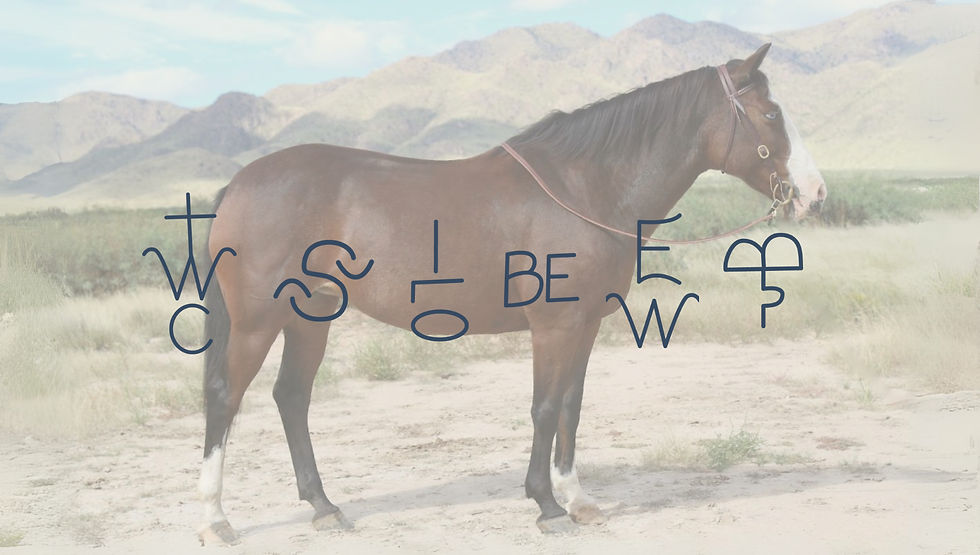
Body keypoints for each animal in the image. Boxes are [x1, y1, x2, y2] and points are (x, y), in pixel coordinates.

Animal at [197, 43, 827, 543]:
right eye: (771, 114)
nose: (816, 194)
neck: (585, 187)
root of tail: (239, 185)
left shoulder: (585, 324)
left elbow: (571, 406)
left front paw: (578, 500)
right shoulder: (554, 327)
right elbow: (545, 408)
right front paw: (546, 506)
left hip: (311, 316)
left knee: (291, 398)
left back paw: (324, 508)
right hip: (257, 321)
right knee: (226, 397)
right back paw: (215, 520)